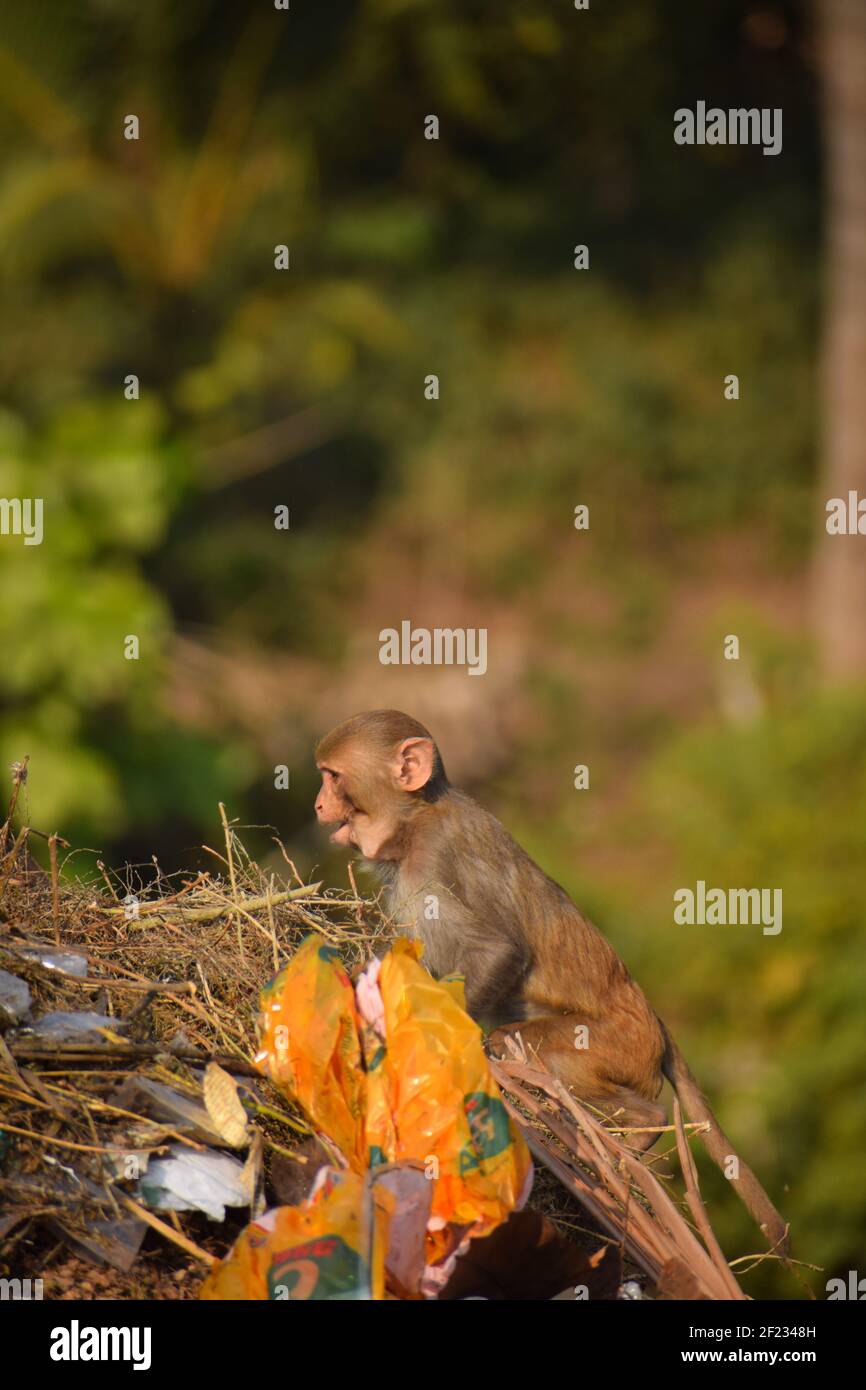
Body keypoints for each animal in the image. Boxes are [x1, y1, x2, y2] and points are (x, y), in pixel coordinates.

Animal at [313, 708, 789, 1255]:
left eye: (334, 777)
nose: (319, 803)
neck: (415, 821)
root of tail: (655, 1021)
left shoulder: (438, 860)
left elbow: (500, 950)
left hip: (617, 1043)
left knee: (526, 1046)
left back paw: (640, 1126)